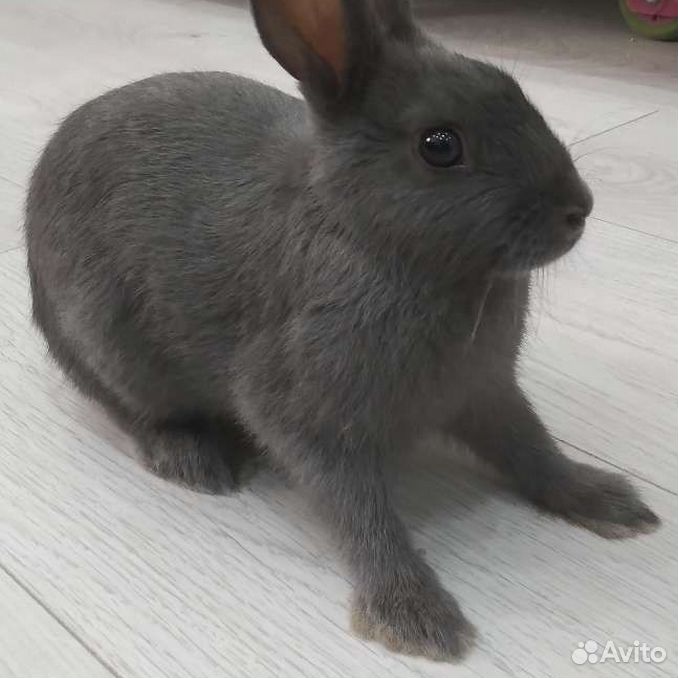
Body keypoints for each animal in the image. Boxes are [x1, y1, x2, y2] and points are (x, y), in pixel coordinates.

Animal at [25, 0, 660, 661]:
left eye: (511, 87)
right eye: (440, 145)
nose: (578, 209)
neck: (377, 238)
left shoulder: (485, 390)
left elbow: (532, 449)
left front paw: (610, 502)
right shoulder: (309, 415)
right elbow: (360, 511)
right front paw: (417, 619)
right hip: (106, 342)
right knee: (132, 411)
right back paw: (196, 459)